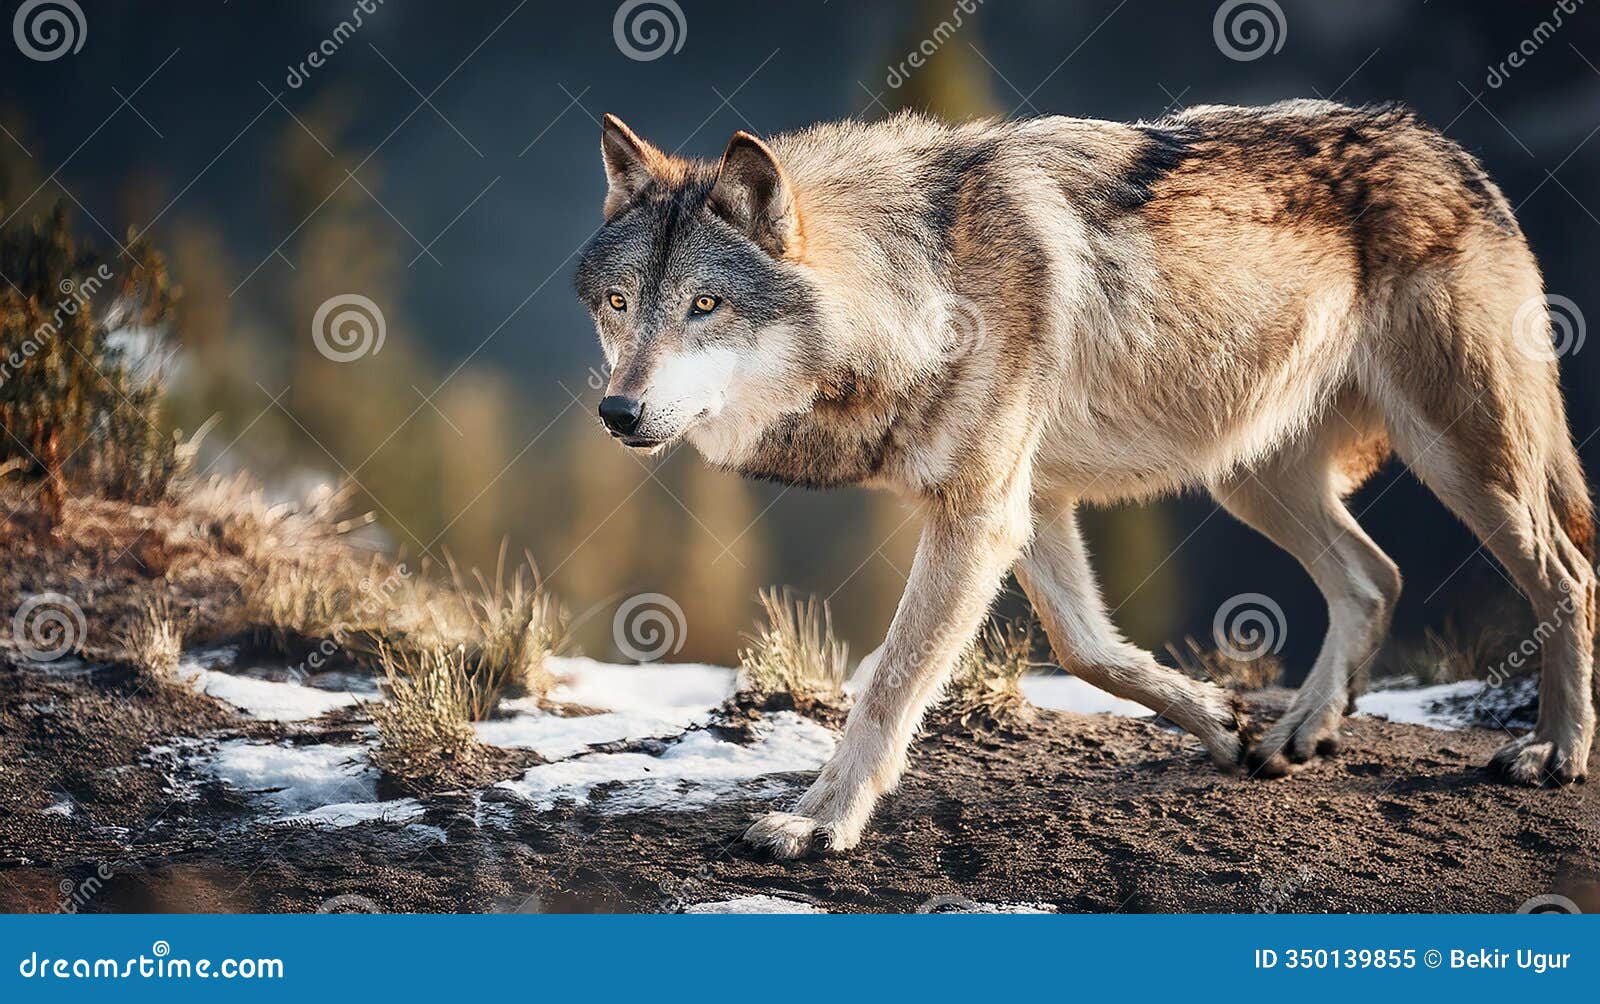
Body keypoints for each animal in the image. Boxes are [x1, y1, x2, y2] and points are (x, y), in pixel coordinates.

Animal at [575, 100, 1596, 859]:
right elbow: (1084, 647)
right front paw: (1216, 719)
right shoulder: (1031, 501)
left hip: (1465, 462)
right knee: (1373, 576)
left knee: (1567, 575)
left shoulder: (982, 511)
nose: (617, 412)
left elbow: (890, 684)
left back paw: (1555, 748)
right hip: (1249, 475)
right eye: (620, 304)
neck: (922, 284)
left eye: (707, 305)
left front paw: (820, 821)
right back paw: (1304, 729)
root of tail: (1448, 147)